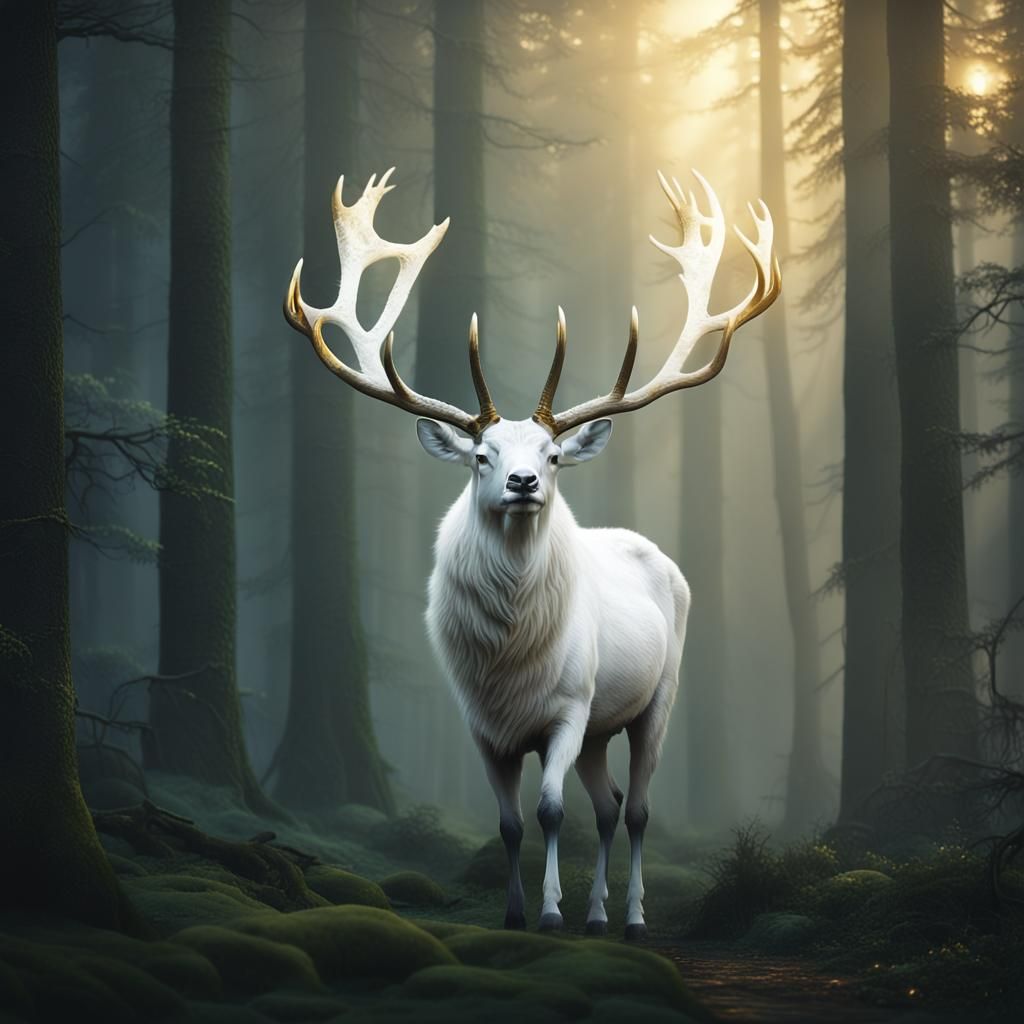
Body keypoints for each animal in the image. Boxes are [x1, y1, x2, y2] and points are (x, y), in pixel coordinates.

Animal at [283, 167, 780, 940]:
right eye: (481, 455)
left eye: (551, 454)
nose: (522, 483)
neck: (511, 658)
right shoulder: (482, 725)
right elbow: (509, 824)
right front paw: (516, 912)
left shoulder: (569, 707)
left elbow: (549, 811)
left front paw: (550, 911)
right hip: (602, 727)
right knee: (607, 805)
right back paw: (599, 913)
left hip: (655, 697)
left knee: (637, 808)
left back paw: (631, 917)